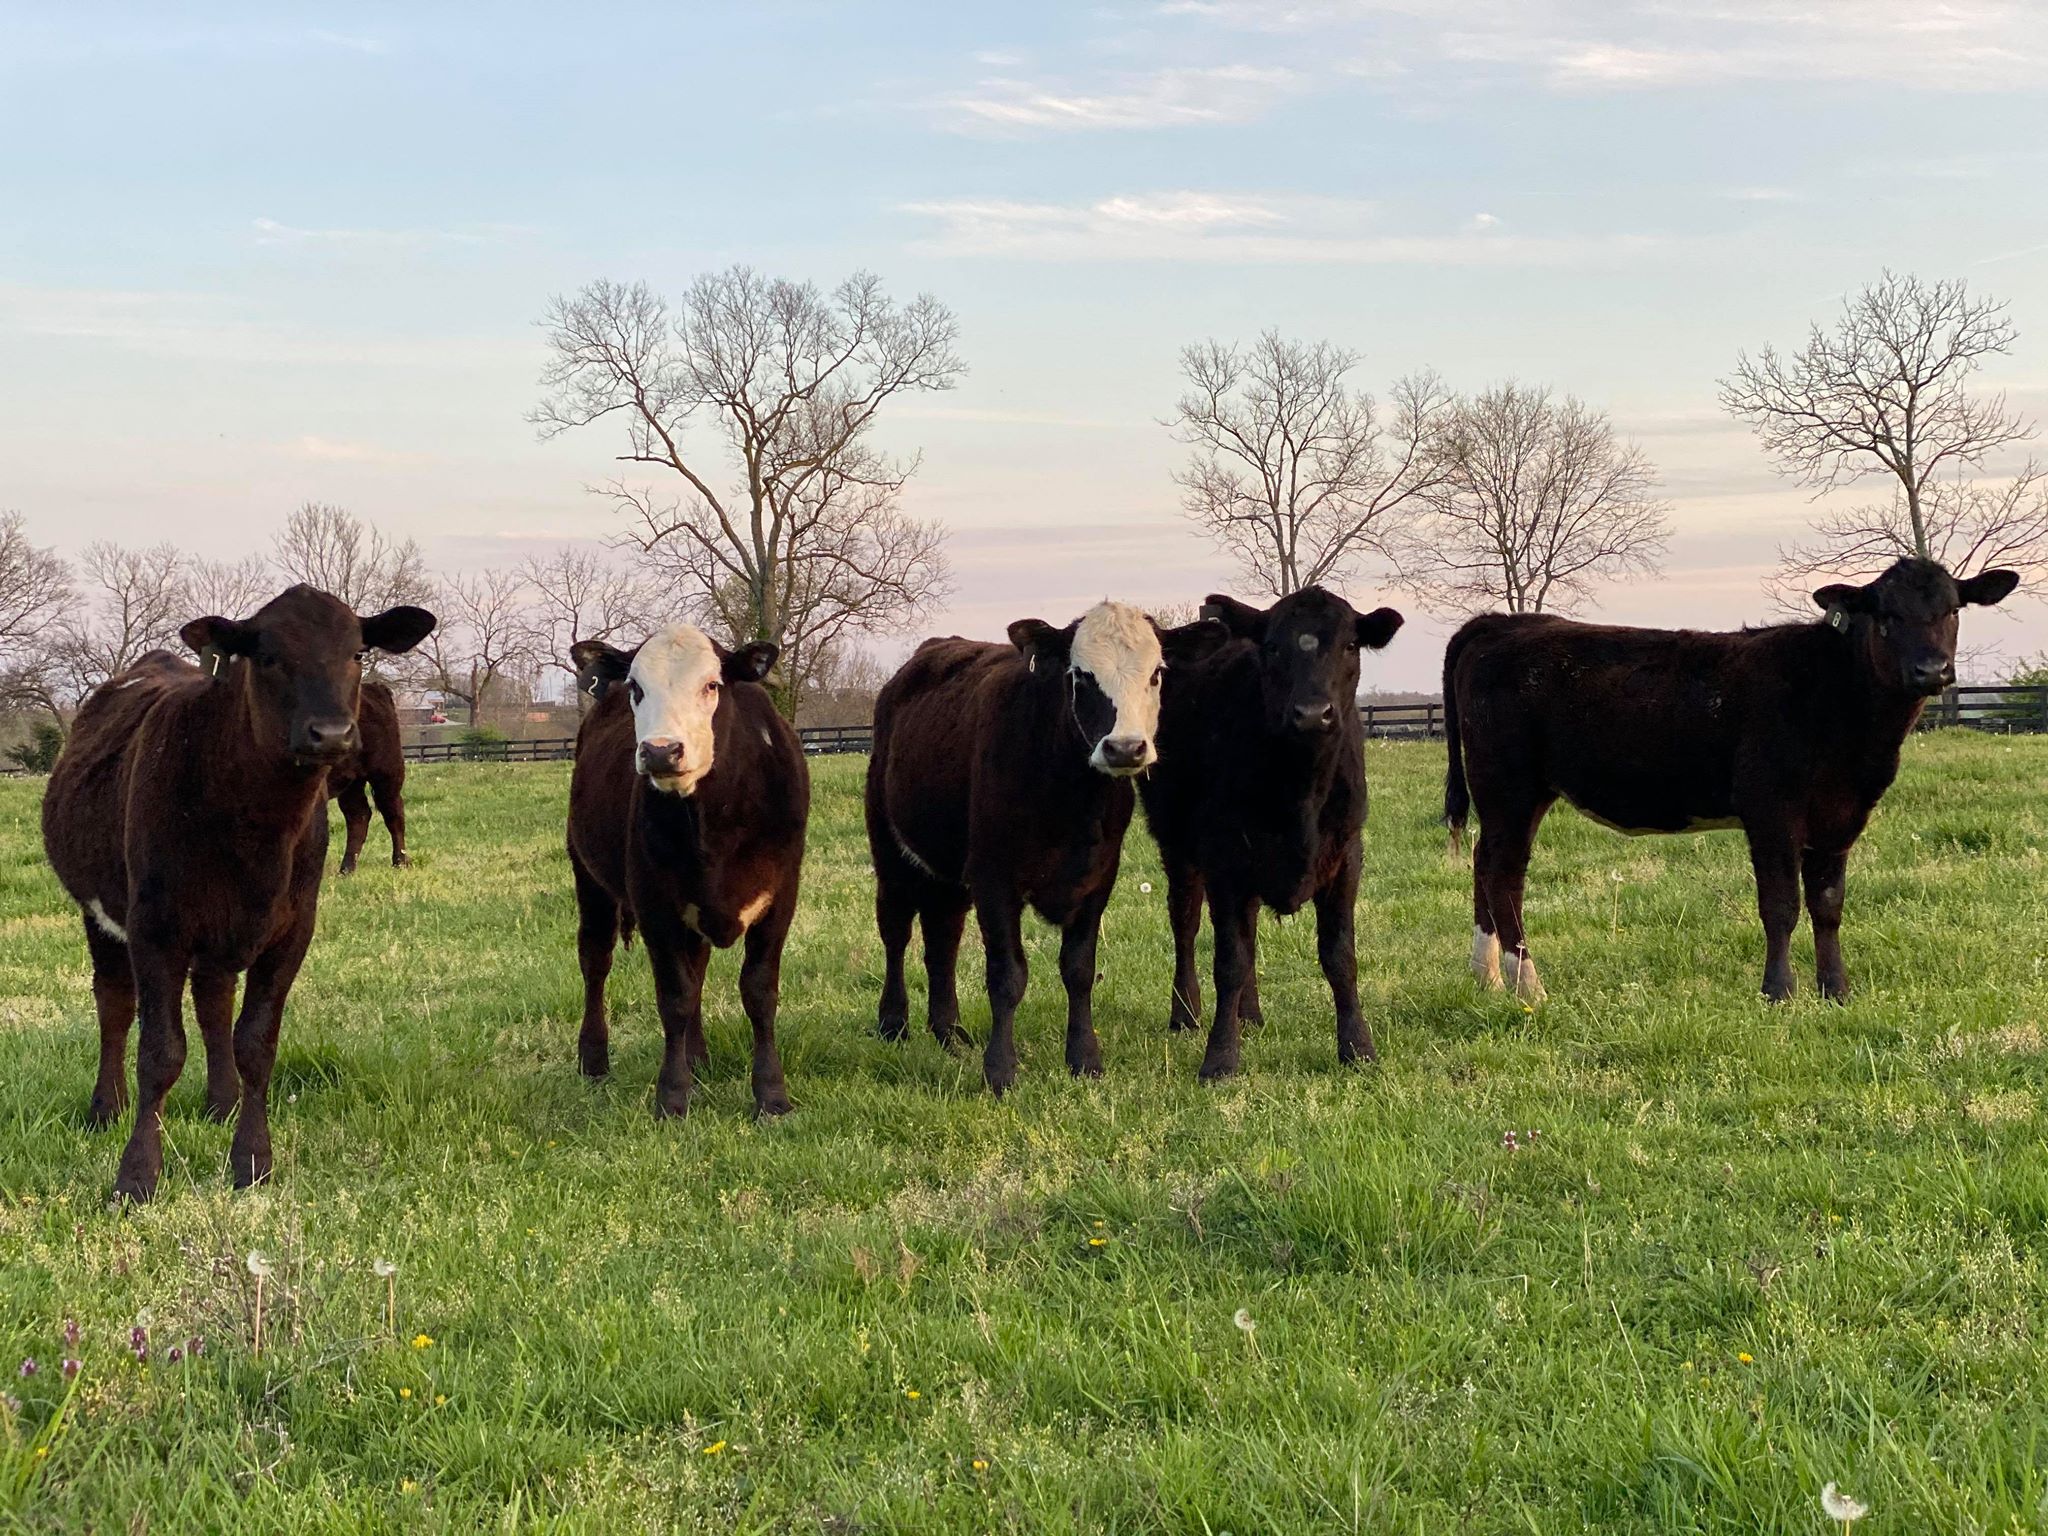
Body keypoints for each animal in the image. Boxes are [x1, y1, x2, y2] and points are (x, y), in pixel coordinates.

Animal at [328, 679, 410, 873]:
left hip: (386, 775)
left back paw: (400, 862)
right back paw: (346, 869)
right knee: (358, 815)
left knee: (394, 814)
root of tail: (374, 687)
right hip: (351, 782)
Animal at [565, 624, 808, 1120]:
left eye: (711, 686)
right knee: (595, 960)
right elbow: (674, 998)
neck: (713, 829)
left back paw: (697, 1057)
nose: (660, 751)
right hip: (588, 875)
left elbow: (759, 993)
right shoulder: (654, 904)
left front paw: (771, 1096)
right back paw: (594, 1059)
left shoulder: (781, 898)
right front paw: (673, 1096)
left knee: (696, 969)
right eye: (636, 688)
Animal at [866, 601, 1227, 1095]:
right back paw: (893, 1023)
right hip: (890, 851)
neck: (1069, 800)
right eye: (1080, 676)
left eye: (1157, 673)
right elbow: (1007, 976)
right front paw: (999, 1070)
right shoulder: (994, 878)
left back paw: (949, 1032)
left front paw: (1085, 1059)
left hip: (950, 873)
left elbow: (1078, 969)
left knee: (943, 939)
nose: (1124, 748)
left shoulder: (1098, 878)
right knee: (896, 931)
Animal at [1139, 586, 1405, 1082]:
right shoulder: (1224, 859)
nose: (1312, 714)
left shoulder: (1346, 856)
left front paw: (1358, 1048)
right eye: (1273, 648)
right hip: (1177, 844)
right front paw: (1220, 1059)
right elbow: (1229, 961)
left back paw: (1250, 1014)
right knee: (1185, 922)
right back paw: (1186, 1013)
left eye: (1350, 645)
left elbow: (1340, 956)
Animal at [1442, 557, 2020, 1004]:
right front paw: (1779, 992)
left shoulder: (1842, 815)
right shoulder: (1771, 809)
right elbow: (1781, 905)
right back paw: (1527, 984)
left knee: (1483, 863)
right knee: (1505, 875)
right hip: (1509, 787)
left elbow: (1828, 904)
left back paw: (1486, 976)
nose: (1932, 670)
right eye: (1886, 615)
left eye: (1952, 610)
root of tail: (1505, 623)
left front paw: (1835, 991)